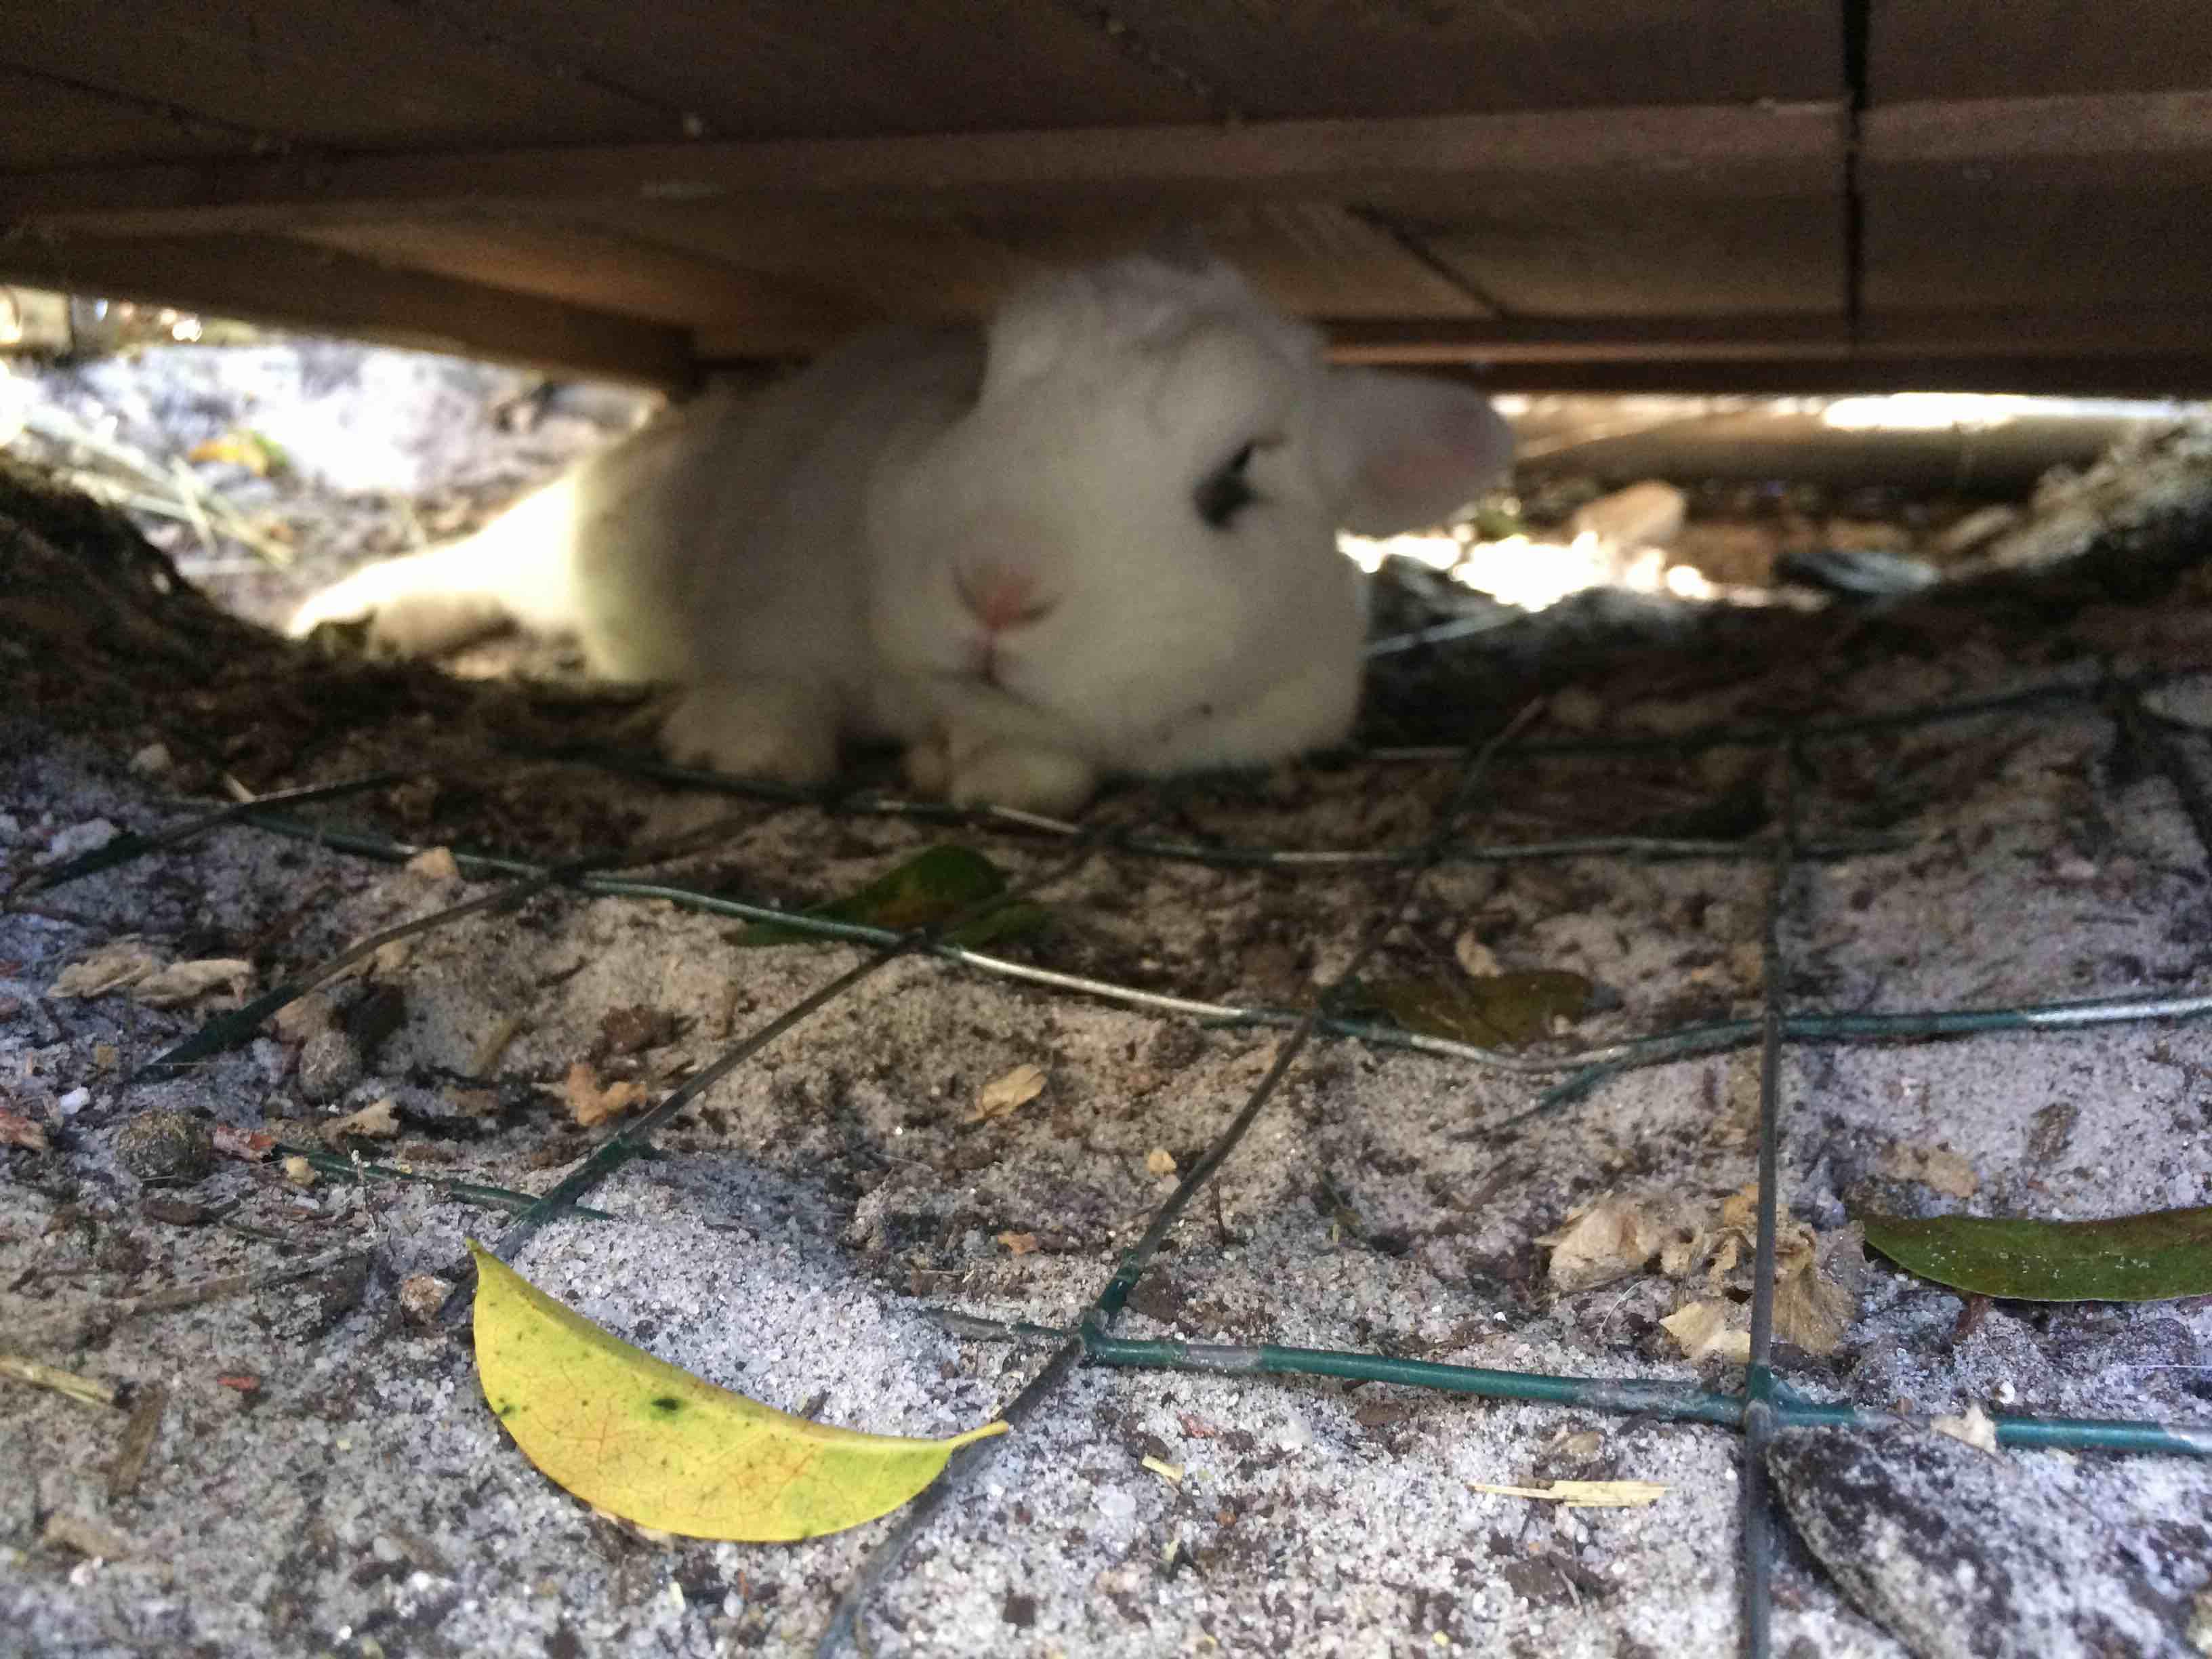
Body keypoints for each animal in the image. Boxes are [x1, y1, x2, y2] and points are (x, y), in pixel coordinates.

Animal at [288, 250, 1514, 814]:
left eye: (1237, 479)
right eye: (979, 386)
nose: (998, 586)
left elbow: (1039, 761)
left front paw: (970, 771)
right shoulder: (775, 587)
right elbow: (772, 673)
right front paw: (735, 747)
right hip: (568, 534)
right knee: (478, 560)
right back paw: (357, 617)